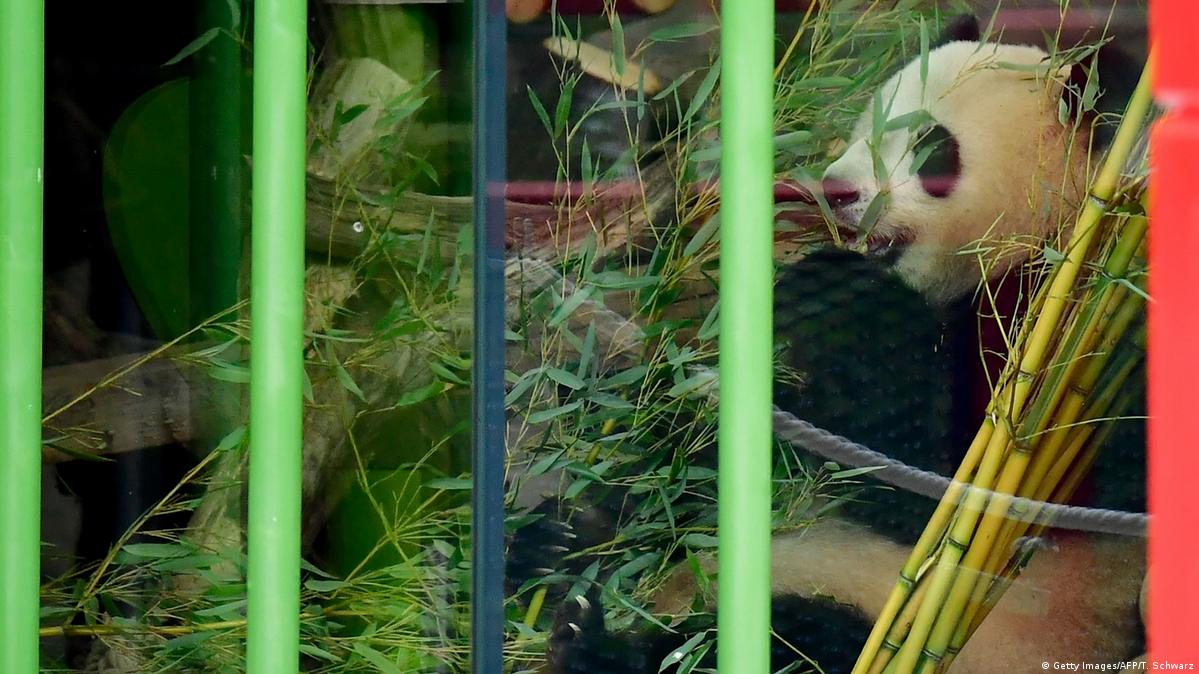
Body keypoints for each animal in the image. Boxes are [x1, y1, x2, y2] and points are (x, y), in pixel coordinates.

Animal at [517, 14, 1148, 674]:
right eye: (866, 123)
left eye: (932, 148)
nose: (836, 190)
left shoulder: (1079, 342)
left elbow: (954, 493)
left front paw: (837, 288)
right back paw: (557, 542)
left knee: (799, 640)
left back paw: (594, 642)